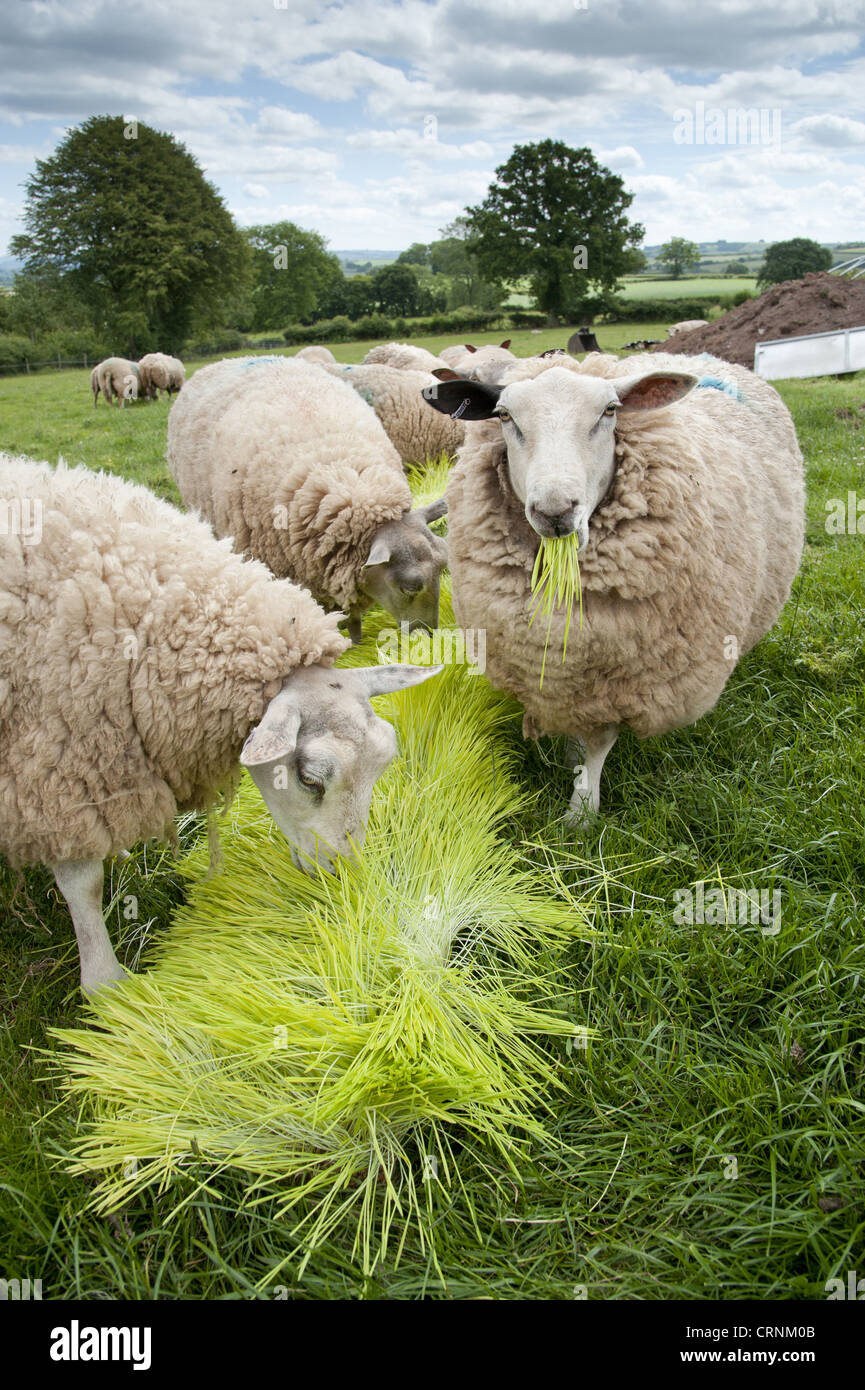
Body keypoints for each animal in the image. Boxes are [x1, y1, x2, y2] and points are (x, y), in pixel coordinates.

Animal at [167, 356, 448, 642]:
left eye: (443, 567)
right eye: (409, 587)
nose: (427, 634)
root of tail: (228, 360)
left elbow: (352, 616)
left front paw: (356, 642)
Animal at [423, 350, 804, 820]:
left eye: (609, 411)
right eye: (505, 416)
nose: (555, 511)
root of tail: (704, 357)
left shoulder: (619, 679)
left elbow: (600, 742)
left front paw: (582, 810)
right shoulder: (557, 669)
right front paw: (570, 759)